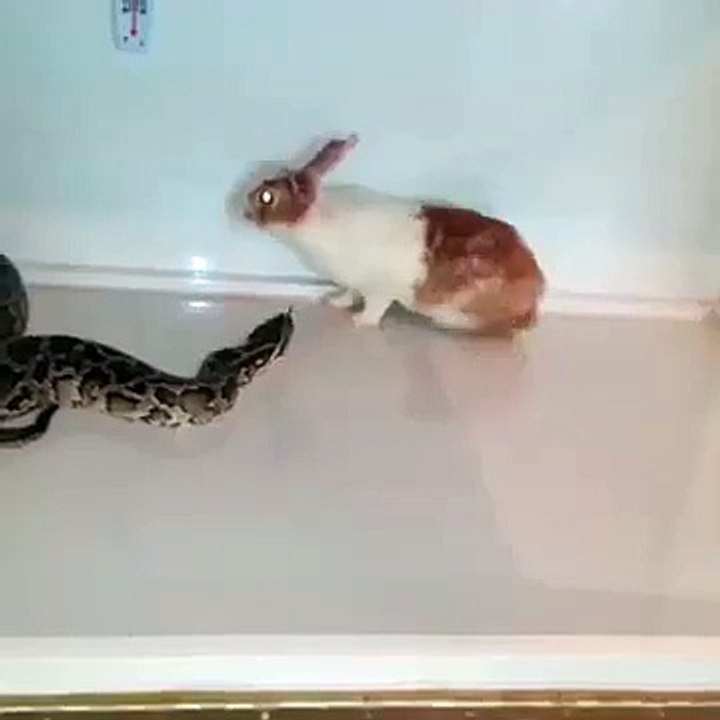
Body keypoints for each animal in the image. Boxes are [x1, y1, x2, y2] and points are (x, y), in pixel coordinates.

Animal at [242, 134, 546, 336]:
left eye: (267, 197)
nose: (243, 211)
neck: (314, 218)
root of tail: (537, 289)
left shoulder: (379, 288)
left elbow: (374, 307)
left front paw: (359, 321)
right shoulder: (353, 281)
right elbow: (349, 293)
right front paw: (335, 302)